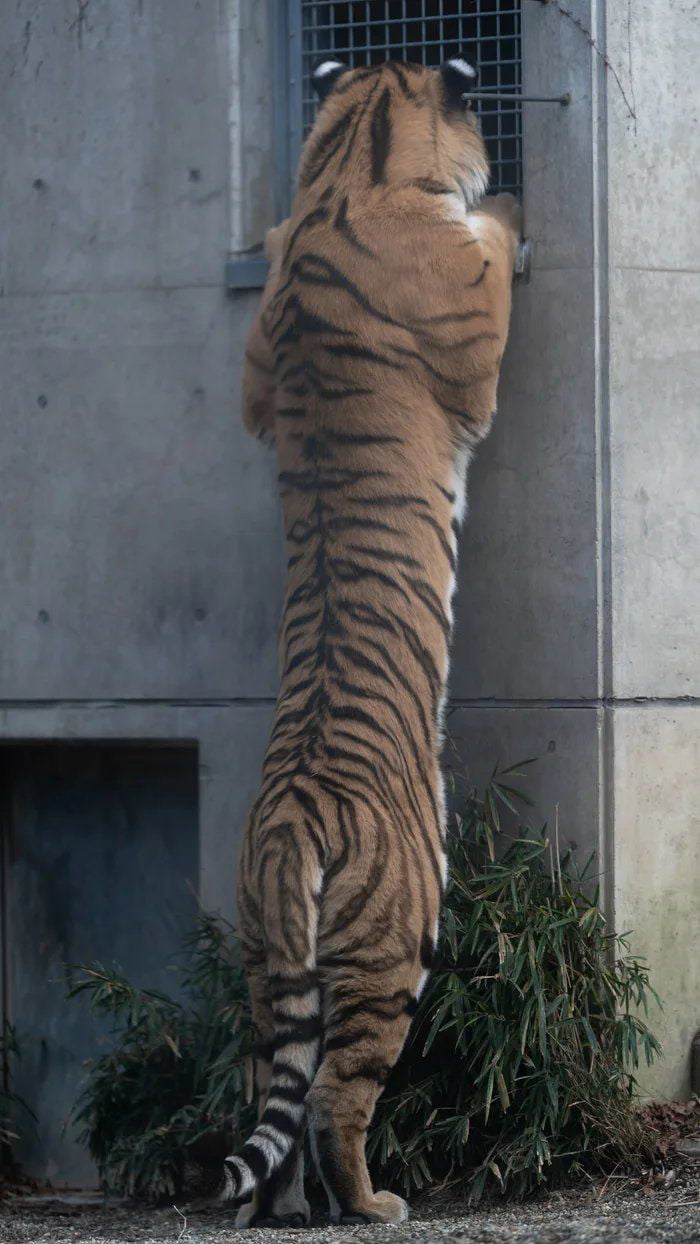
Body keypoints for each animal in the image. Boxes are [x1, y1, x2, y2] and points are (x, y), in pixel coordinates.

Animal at [222, 56, 521, 1226]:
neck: (349, 165)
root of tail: (295, 820)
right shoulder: (472, 332)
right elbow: (493, 247)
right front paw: (510, 206)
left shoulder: (258, 373)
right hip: (398, 945)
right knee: (338, 1098)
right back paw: (374, 1202)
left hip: (271, 964)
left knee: (272, 1090)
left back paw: (283, 1210)